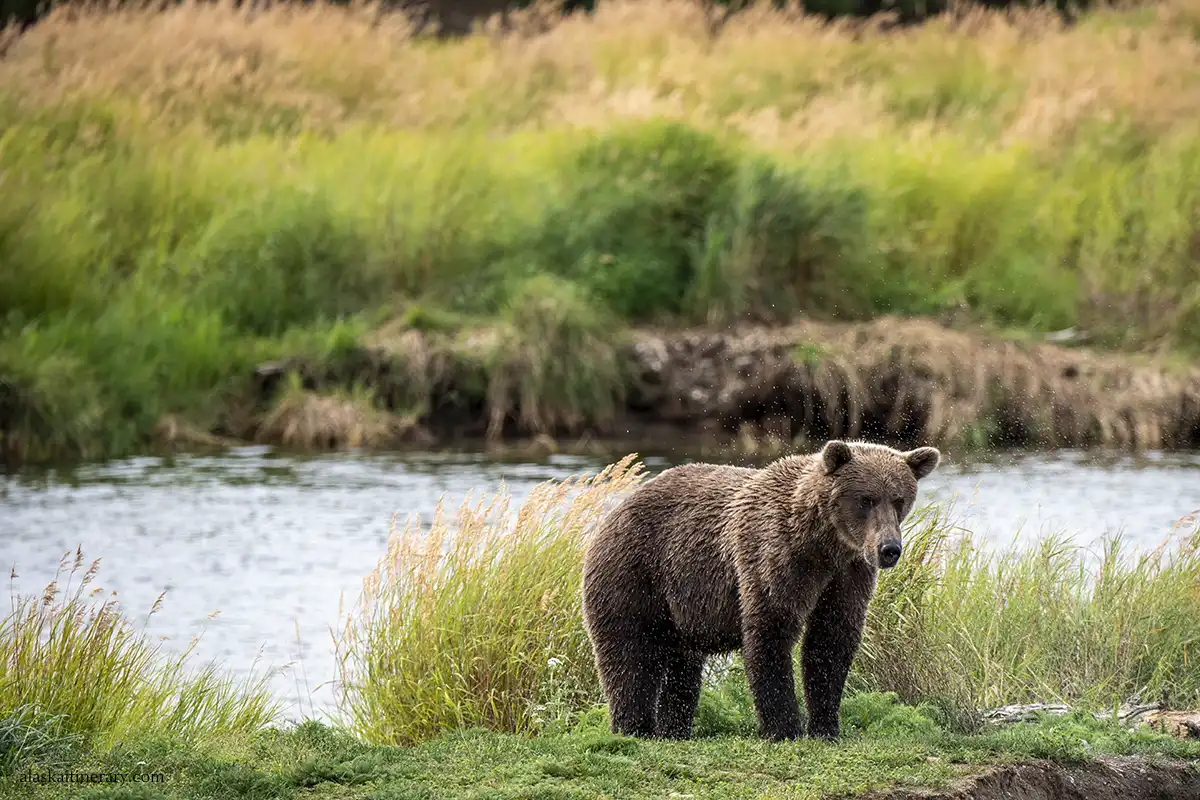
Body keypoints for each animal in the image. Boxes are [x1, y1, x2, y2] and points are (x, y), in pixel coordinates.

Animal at [580, 439, 941, 742]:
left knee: (682, 667)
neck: (822, 543)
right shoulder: (773, 554)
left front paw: (826, 725)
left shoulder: (847, 574)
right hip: (634, 572)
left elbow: (831, 639)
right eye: (866, 500)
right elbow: (771, 630)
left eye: (899, 500)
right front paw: (784, 728)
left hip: (680, 605)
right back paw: (634, 727)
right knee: (629, 654)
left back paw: (674, 728)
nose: (889, 549)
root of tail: (614, 509)